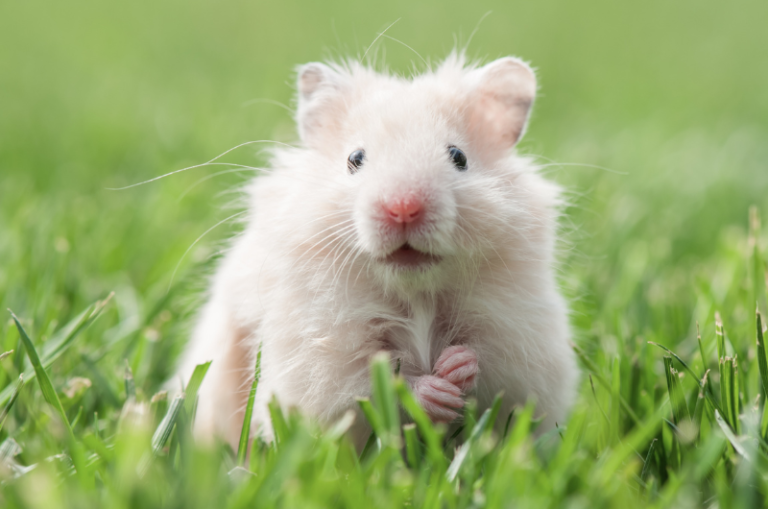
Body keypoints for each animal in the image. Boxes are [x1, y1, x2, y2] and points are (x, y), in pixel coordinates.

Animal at [177, 53, 579, 449]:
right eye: (355, 158)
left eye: (459, 156)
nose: (404, 207)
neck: (415, 290)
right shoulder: (321, 362)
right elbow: (374, 383)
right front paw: (435, 391)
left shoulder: (521, 344)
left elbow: (490, 365)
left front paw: (455, 366)